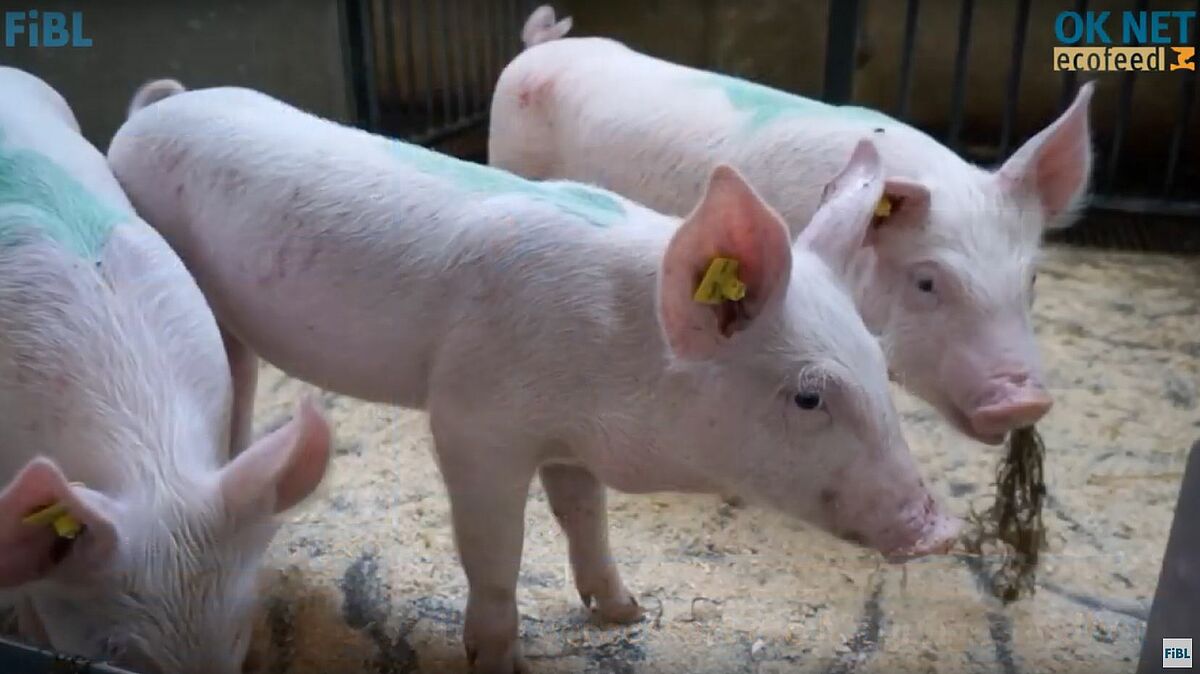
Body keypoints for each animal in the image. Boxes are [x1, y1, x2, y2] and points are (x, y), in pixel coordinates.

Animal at [108, 81, 960, 674]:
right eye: (809, 396)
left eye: (879, 369)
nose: (940, 527)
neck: (620, 359)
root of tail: (153, 111)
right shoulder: (471, 422)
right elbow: (497, 550)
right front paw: (502, 660)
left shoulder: (571, 444)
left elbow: (586, 519)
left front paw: (626, 612)